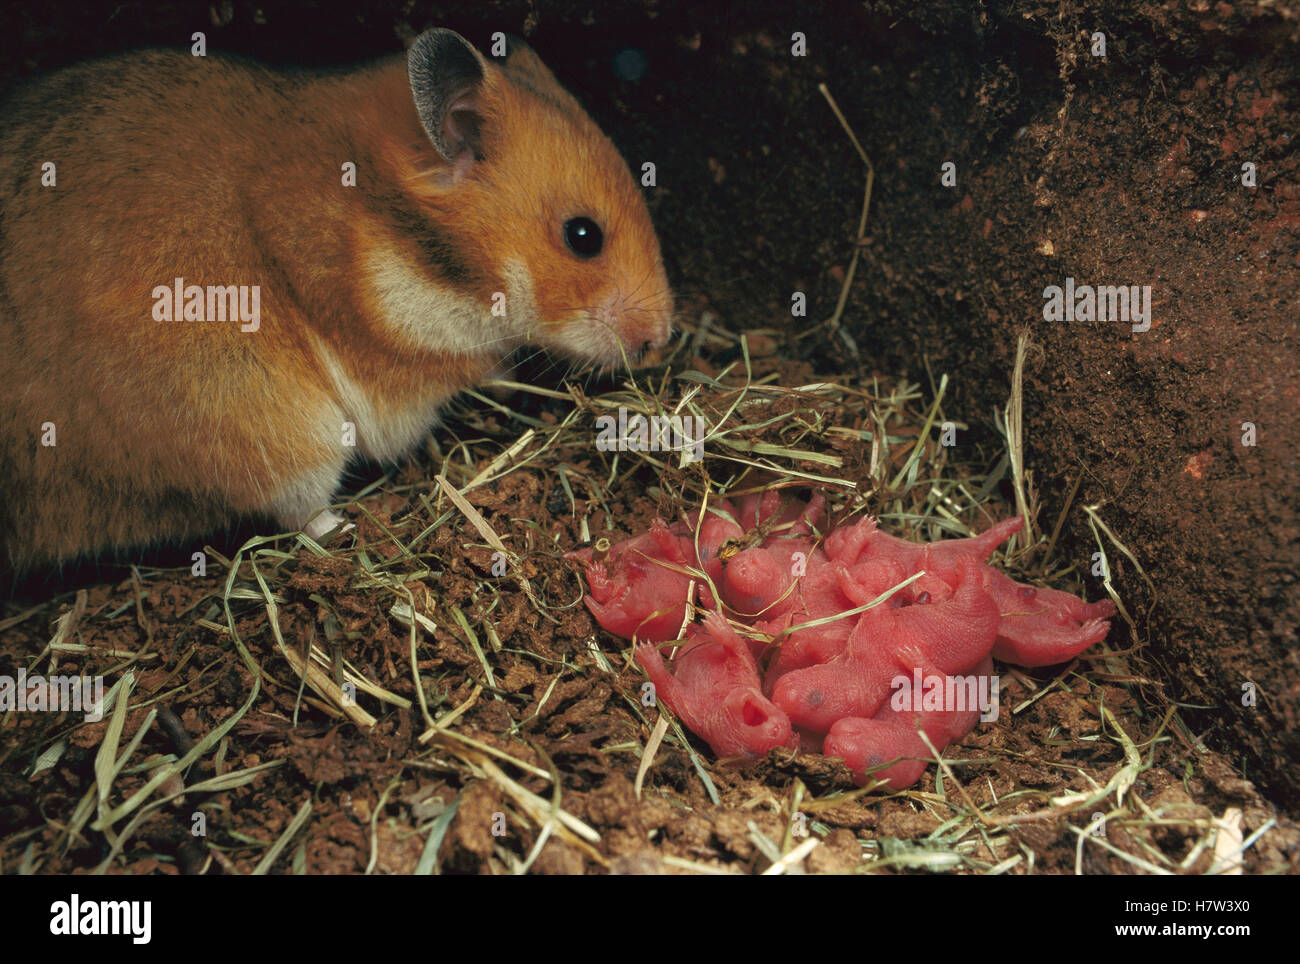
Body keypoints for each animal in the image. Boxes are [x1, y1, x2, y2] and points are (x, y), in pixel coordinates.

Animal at [0, 29, 673, 569]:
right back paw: (351, 529)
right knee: (302, 513)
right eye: (583, 236)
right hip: (275, 426)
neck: (392, 227)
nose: (659, 344)